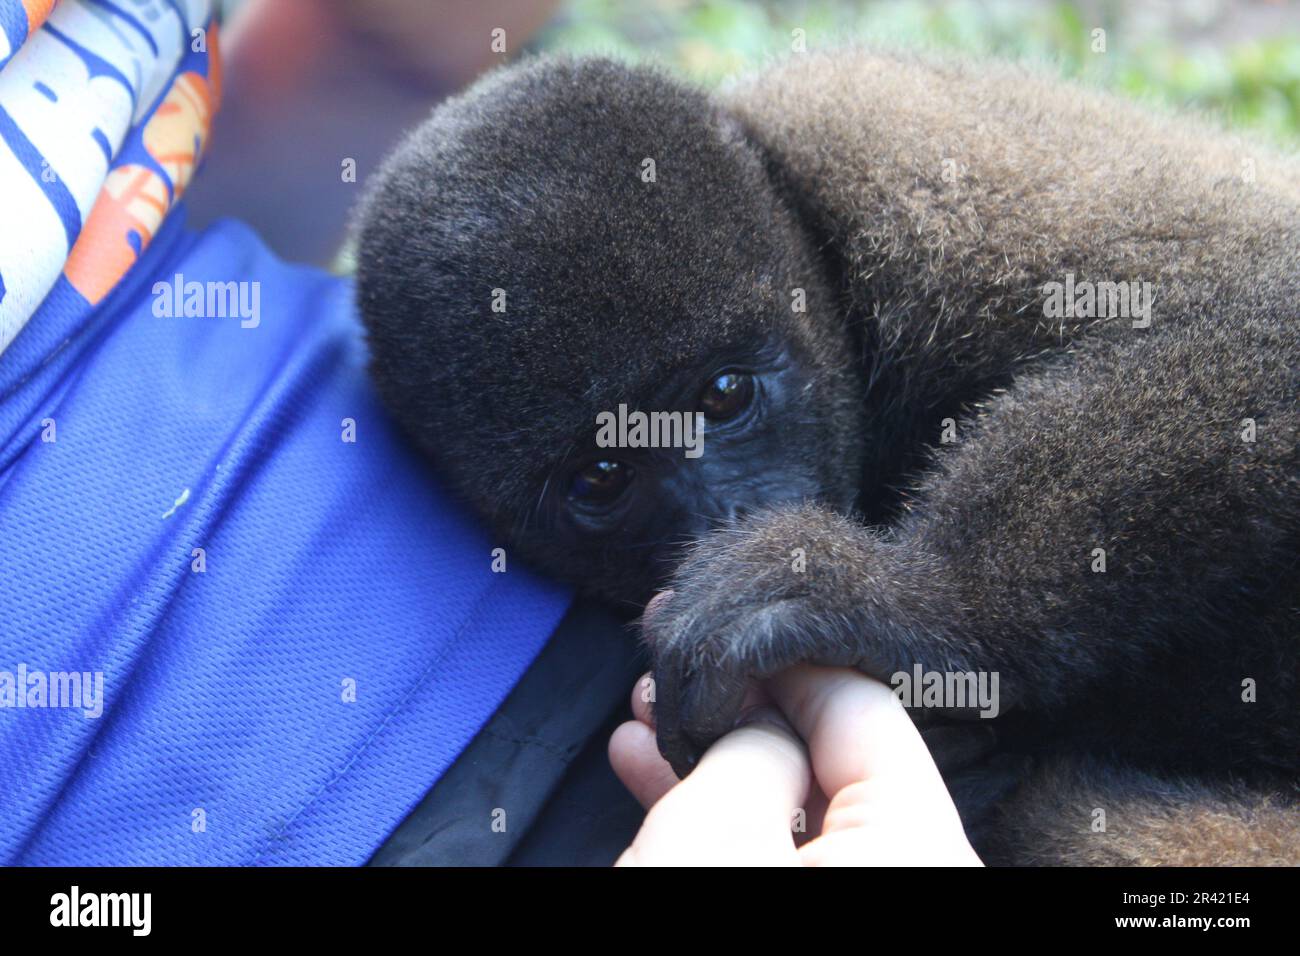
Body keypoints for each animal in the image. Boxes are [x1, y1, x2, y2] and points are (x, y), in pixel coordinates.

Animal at [354, 51, 1300, 865]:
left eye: (724, 394)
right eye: (602, 478)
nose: (726, 523)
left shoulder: (882, 145)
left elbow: (1264, 288)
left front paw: (912, 600)